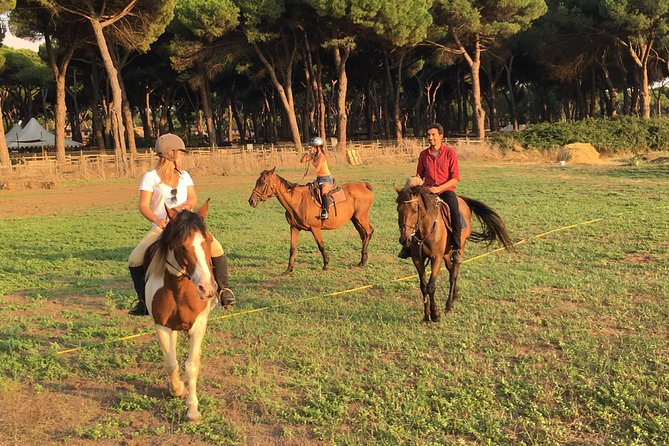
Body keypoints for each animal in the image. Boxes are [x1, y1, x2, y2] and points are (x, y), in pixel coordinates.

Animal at [144, 201, 218, 422]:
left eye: (207, 240)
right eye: (181, 246)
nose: (206, 288)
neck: (178, 289)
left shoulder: (199, 325)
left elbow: (191, 364)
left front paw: (192, 409)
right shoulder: (161, 326)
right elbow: (171, 362)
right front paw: (176, 389)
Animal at [396, 185, 514, 322]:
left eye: (415, 210)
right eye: (398, 209)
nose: (404, 239)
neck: (425, 231)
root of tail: (462, 199)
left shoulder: (436, 258)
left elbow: (431, 286)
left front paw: (435, 314)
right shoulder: (417, 259)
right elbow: (423, 286)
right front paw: (426, 315)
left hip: (458, 248)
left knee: (454, 274)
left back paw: (449, 305)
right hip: (446, 254)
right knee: (451, 269)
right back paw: (455, 294)